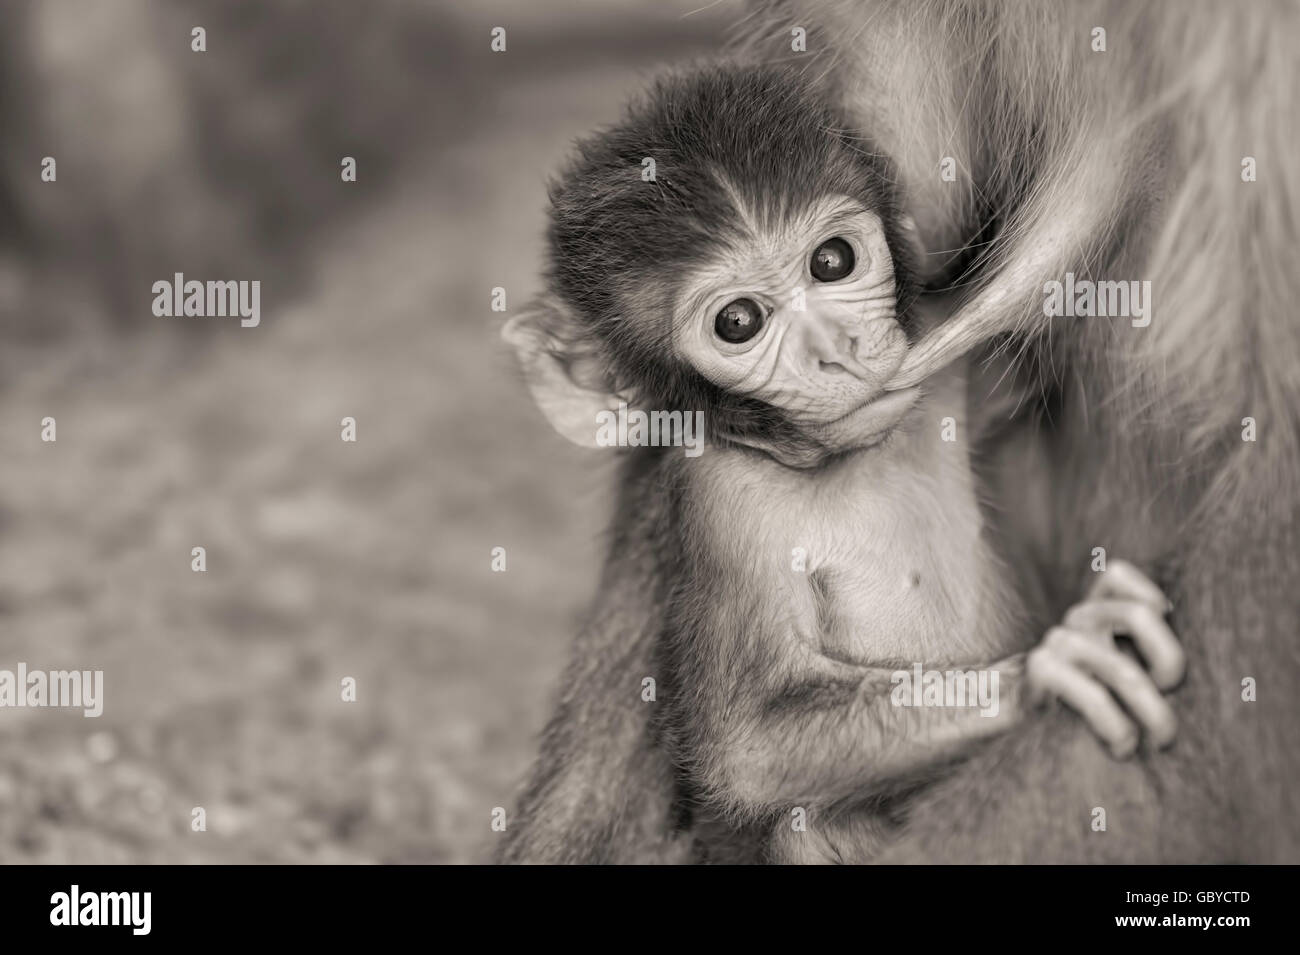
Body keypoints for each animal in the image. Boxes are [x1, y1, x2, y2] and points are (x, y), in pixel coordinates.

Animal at [497, 0, 1300, 865]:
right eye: (738, 322)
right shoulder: (724, 508)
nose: (838, 348)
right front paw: (1050, 669)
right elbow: (750, 749)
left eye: (832, 261)